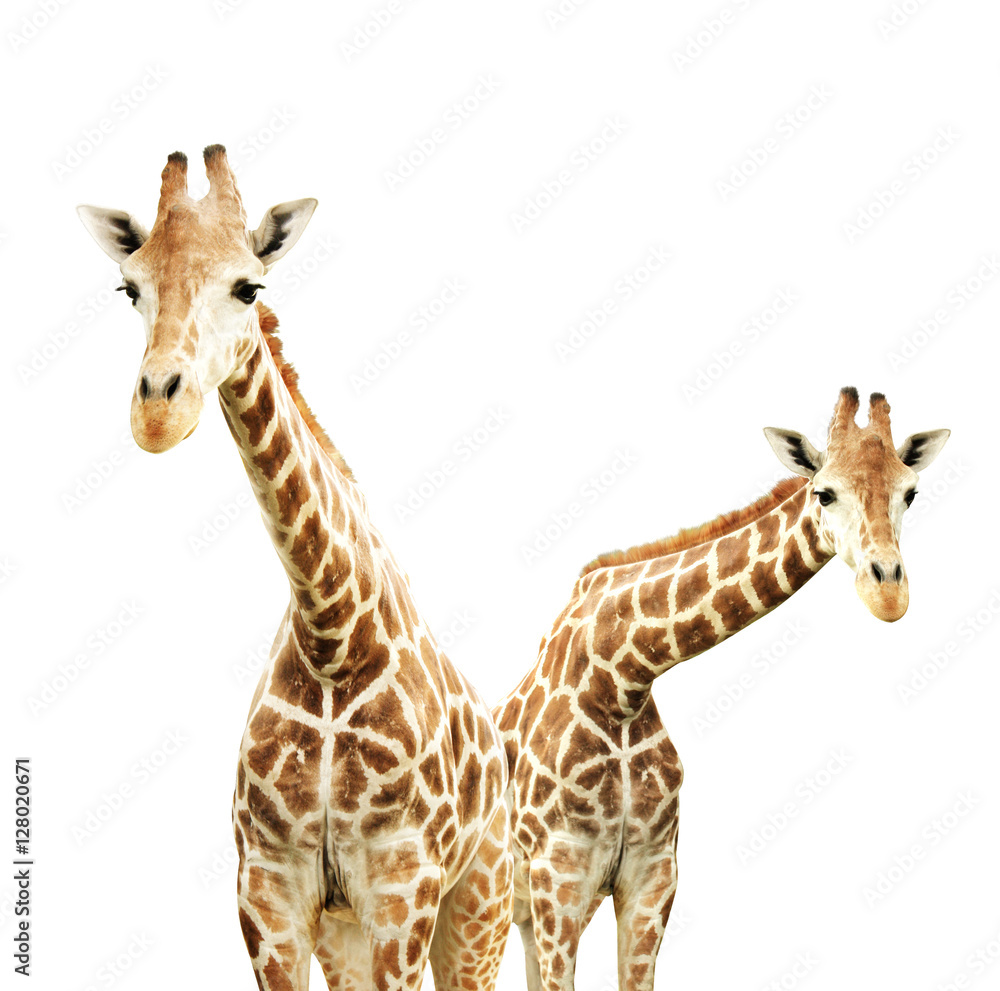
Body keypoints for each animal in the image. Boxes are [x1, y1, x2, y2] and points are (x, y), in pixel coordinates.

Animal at [77, 146, 512, 991]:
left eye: (249, 286)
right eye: (129, 287)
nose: (158, 413)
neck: (331, 631)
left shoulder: (404, 890)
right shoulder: (269, 894)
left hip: (480, 904)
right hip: (345, 934)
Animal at [494, 387, 950, 991]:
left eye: (911, 493)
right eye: (824, 492)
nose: (889, 596)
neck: (620, 679)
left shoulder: (652, 876)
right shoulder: (559, 874)